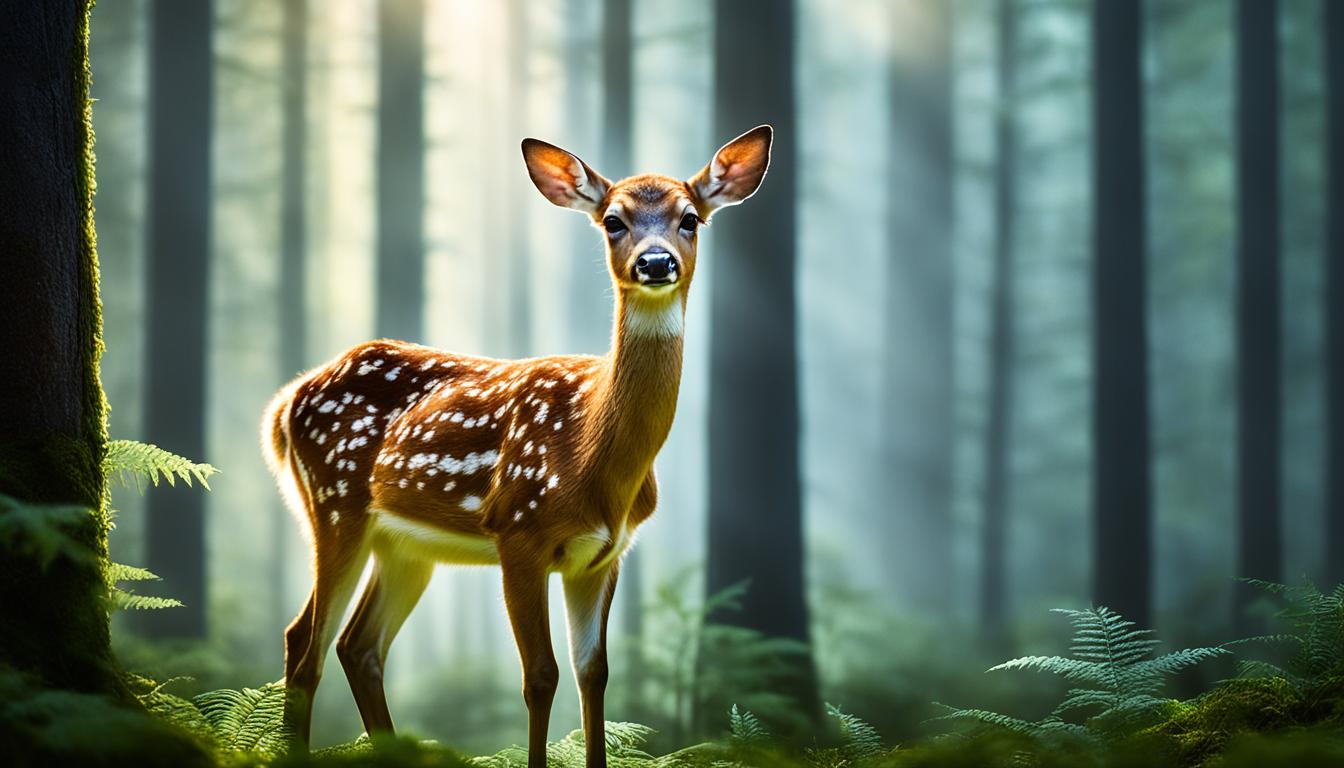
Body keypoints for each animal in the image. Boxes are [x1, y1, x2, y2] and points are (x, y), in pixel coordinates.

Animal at [260, 125, 773, 767]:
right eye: (613, 220)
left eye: (691, 219)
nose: (656, 262)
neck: (590, 453)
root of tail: (285, 402)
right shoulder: (517, 532)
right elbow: (539, 677)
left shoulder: (604, 555)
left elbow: (593, 673)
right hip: (335, 504)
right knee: (306, 645)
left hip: (403, 546)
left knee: (354, 645)